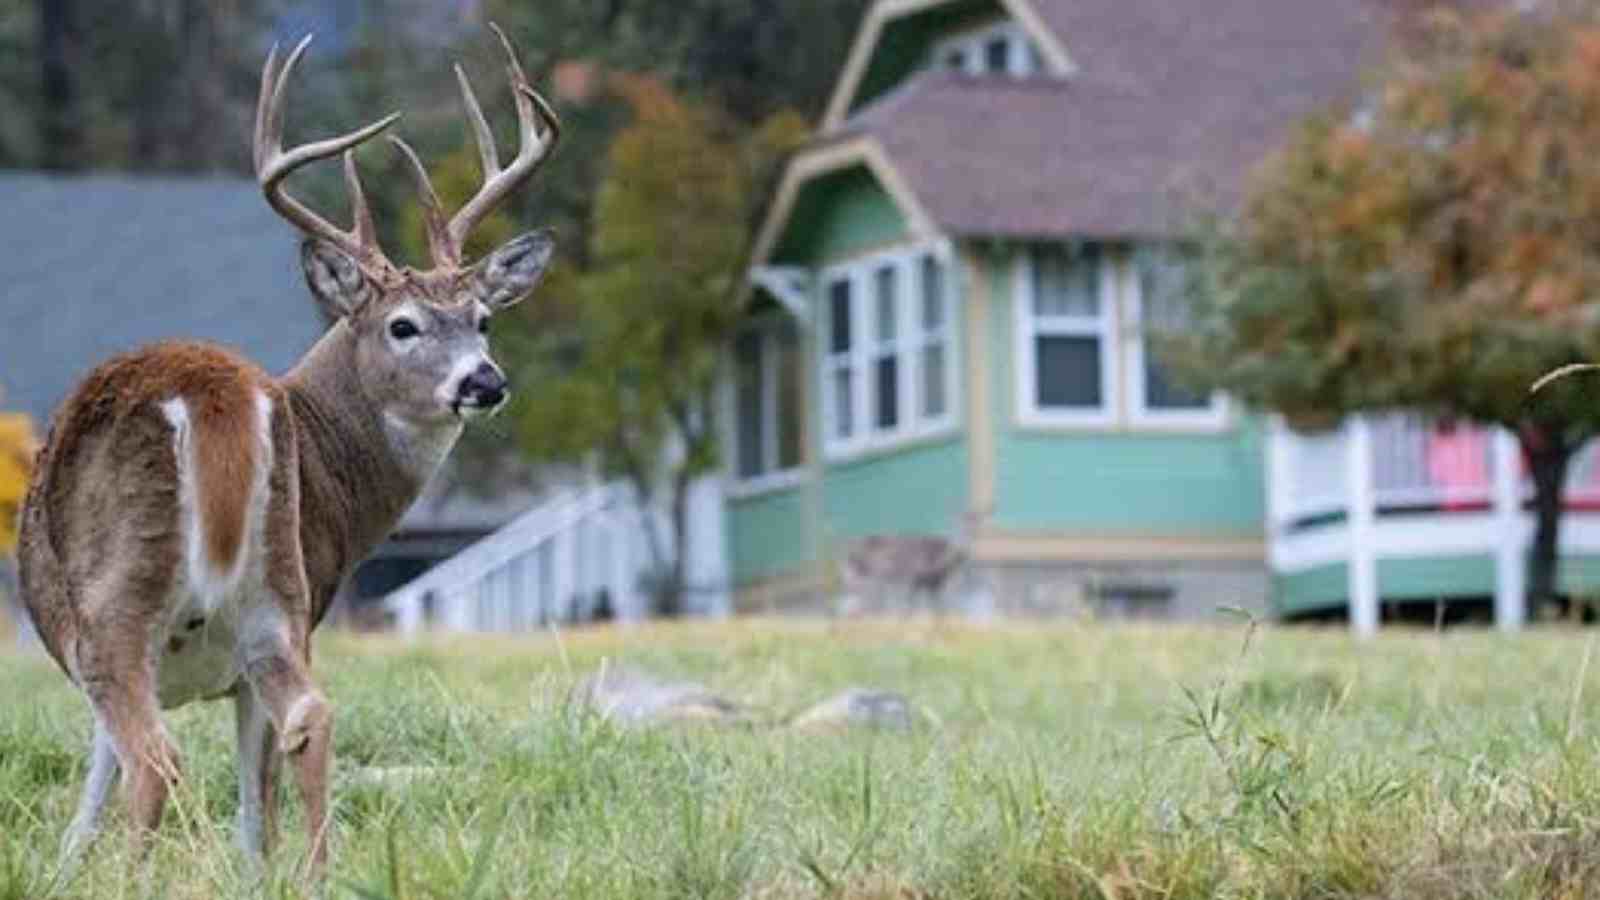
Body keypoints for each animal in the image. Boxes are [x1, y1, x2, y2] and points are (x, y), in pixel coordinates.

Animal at [16, 24, 559, 873]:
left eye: (482, 319)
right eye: (404, 325)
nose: (485, 381)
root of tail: (216, 395)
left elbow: (103, 782)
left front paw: (73, 871)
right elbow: (243, 795)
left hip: (121, 599)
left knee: (156, 756)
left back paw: (139, 876)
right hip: (271, 597)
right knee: (310, 716)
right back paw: (317, 873)